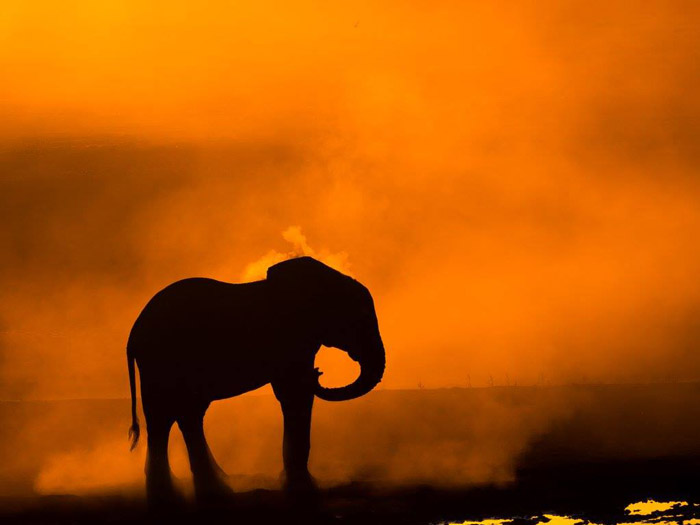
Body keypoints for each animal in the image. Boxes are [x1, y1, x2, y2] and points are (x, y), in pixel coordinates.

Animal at [126, 256, 386, 504]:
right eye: (361, 318)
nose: (318, 373)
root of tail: (134, 331)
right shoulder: (290, 340)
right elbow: (293, 392)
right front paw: (304, 491)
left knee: (185, 415)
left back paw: (212, 492)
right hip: (160, 361)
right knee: (164, 416)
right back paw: (174, 497)